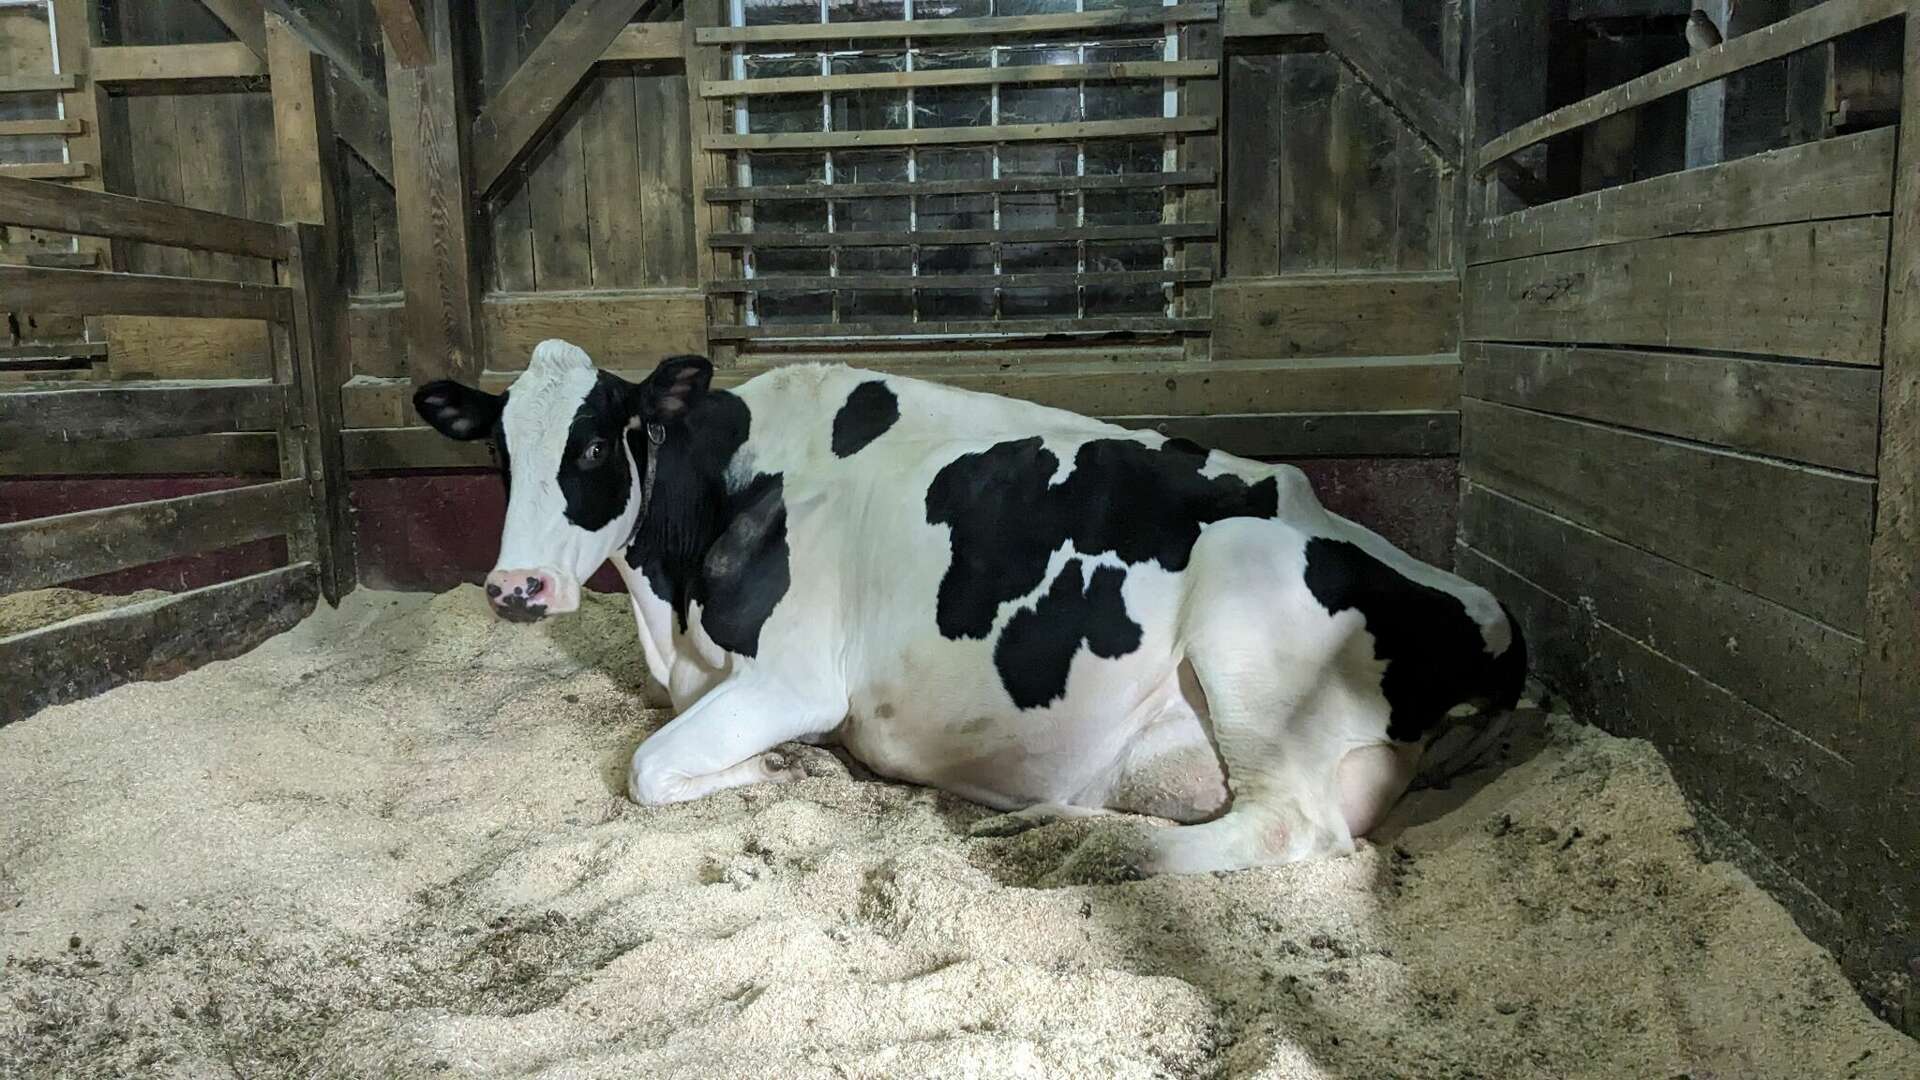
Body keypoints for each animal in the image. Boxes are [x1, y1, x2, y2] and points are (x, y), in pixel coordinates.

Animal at [413, 340, 1526, 876]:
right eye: (499, 452)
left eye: (598, 443)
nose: (515, 587)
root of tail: (1485, 609)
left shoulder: (796, 680)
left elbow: (645, 767)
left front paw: (771, 768)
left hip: (1247, 617)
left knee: (1287, 826)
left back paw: (1085, 851)